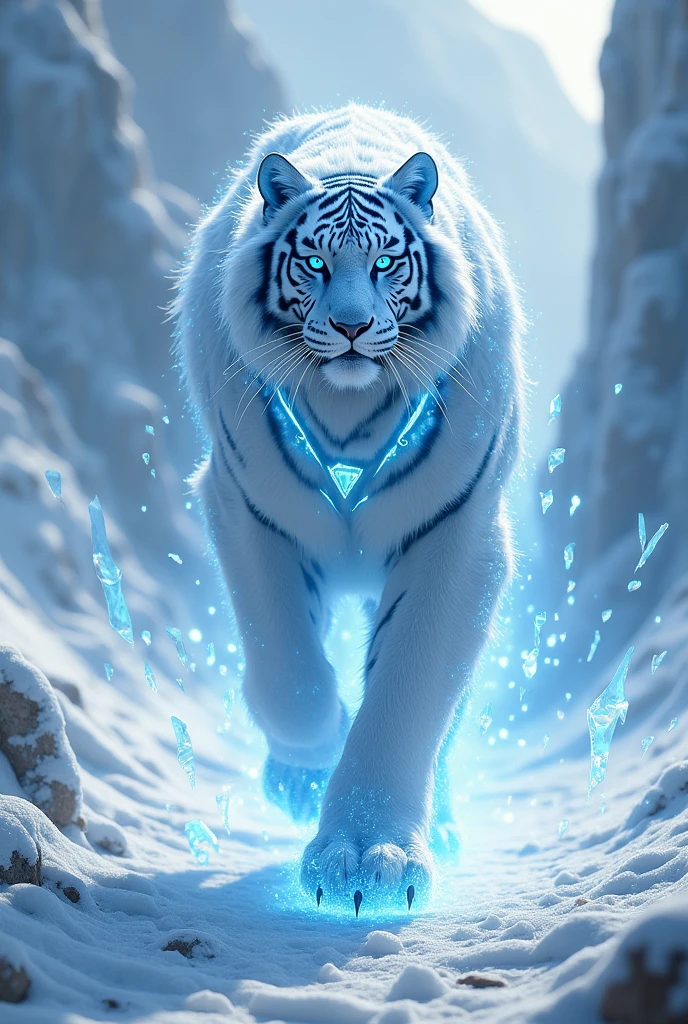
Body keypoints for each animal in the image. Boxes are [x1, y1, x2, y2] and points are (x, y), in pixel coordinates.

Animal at [176, 104, 524, 912]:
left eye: (386, 264)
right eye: (314, 265)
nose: (353, 327)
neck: (349, 414)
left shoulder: (459, 535)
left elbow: (408, 695)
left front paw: (370, 858)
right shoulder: (246, 510)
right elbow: (286, 667)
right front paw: (306, 773)